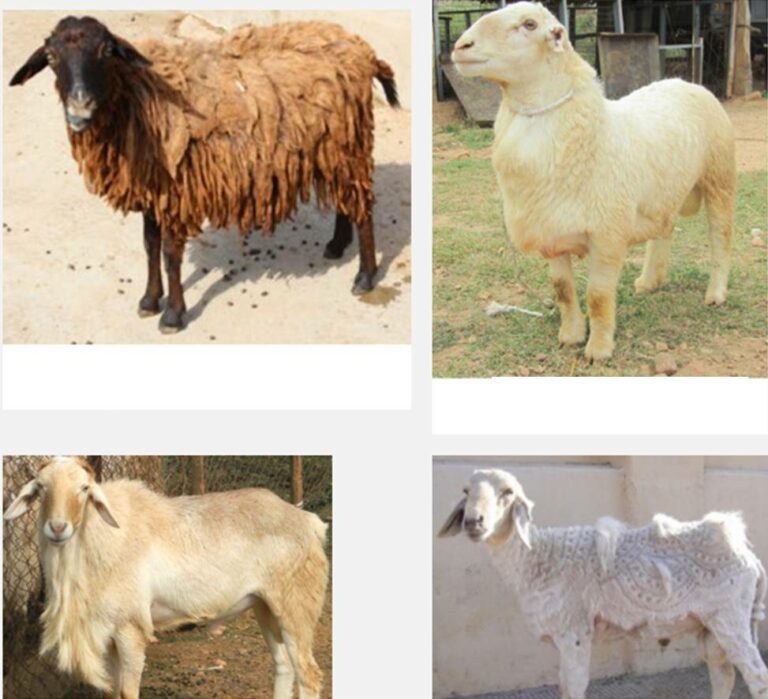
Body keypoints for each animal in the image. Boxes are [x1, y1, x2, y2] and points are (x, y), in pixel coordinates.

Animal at [3, 456, 329, 699]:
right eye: (41, 488)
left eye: (84, 488)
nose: (57, 528)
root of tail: (309, 521)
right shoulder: (108, 633)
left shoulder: (130, 627)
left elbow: (127, 692)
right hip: (264, 605)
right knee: (284, 665)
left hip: (297, 604)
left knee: (308, 673)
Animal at [10, 16, 399, 332]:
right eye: (51, 57)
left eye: (106, 51)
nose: (80, 107)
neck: (139, 97)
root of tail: (363, 50)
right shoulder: (152, 189)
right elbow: (149, 245)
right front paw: (149, 300)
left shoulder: (176, 192)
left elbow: (170, 254)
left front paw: (173, 314)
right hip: (335, 148)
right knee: (346, 199)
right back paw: (336, 245)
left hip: (349, 146)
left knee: (363, 206)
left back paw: (365, 277)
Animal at [438, 468, 768, 699]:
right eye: (466, 490)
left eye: (507, 492)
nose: (474, 522)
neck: (537, 556)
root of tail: (746, 551)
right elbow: (564, 686)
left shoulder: (574, 632)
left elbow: (574, 687)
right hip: (710, 626)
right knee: (723, 674)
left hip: (730, 617)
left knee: (757, 677)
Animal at [452, 2, 736, 360]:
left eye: (529, 25)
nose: (461, 47)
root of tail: (685, 81)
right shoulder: (551, 230)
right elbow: (563, 291)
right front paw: (570, 336)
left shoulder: (607, 234)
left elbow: (598, 296)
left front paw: (598, 349)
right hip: (662, 194)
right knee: (664, 230)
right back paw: (649, 280)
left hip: (719, 177)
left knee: (721, 237)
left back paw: (716, 293)